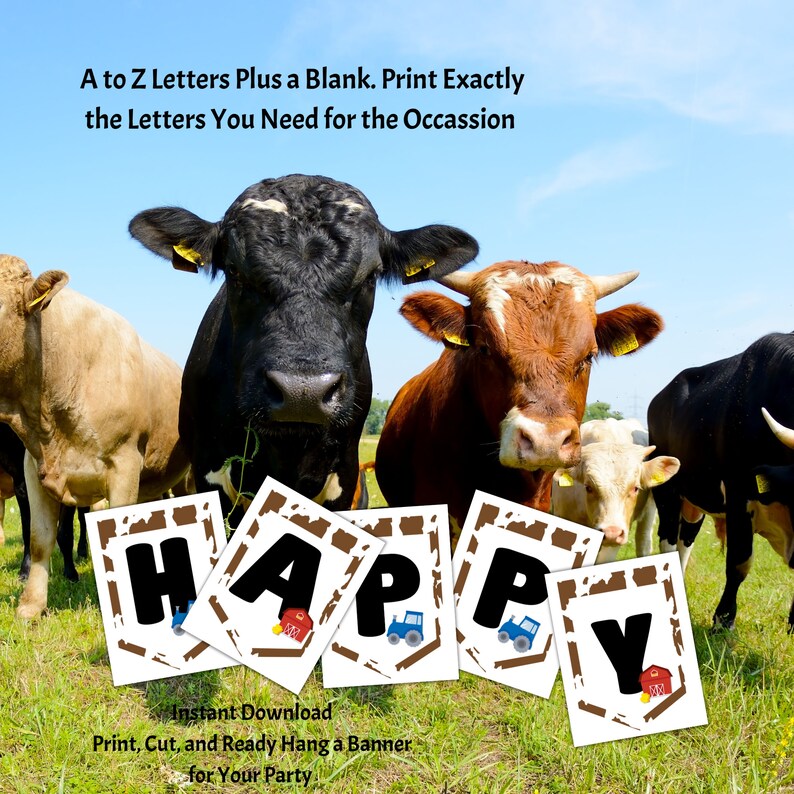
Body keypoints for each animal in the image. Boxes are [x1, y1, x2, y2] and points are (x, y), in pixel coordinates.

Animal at [647, 332, 794, 631]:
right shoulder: (739, 492)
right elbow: (739, 563)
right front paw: (723, 619)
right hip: (667, 490)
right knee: (668, 540)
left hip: (696, 499)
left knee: (686, 541)